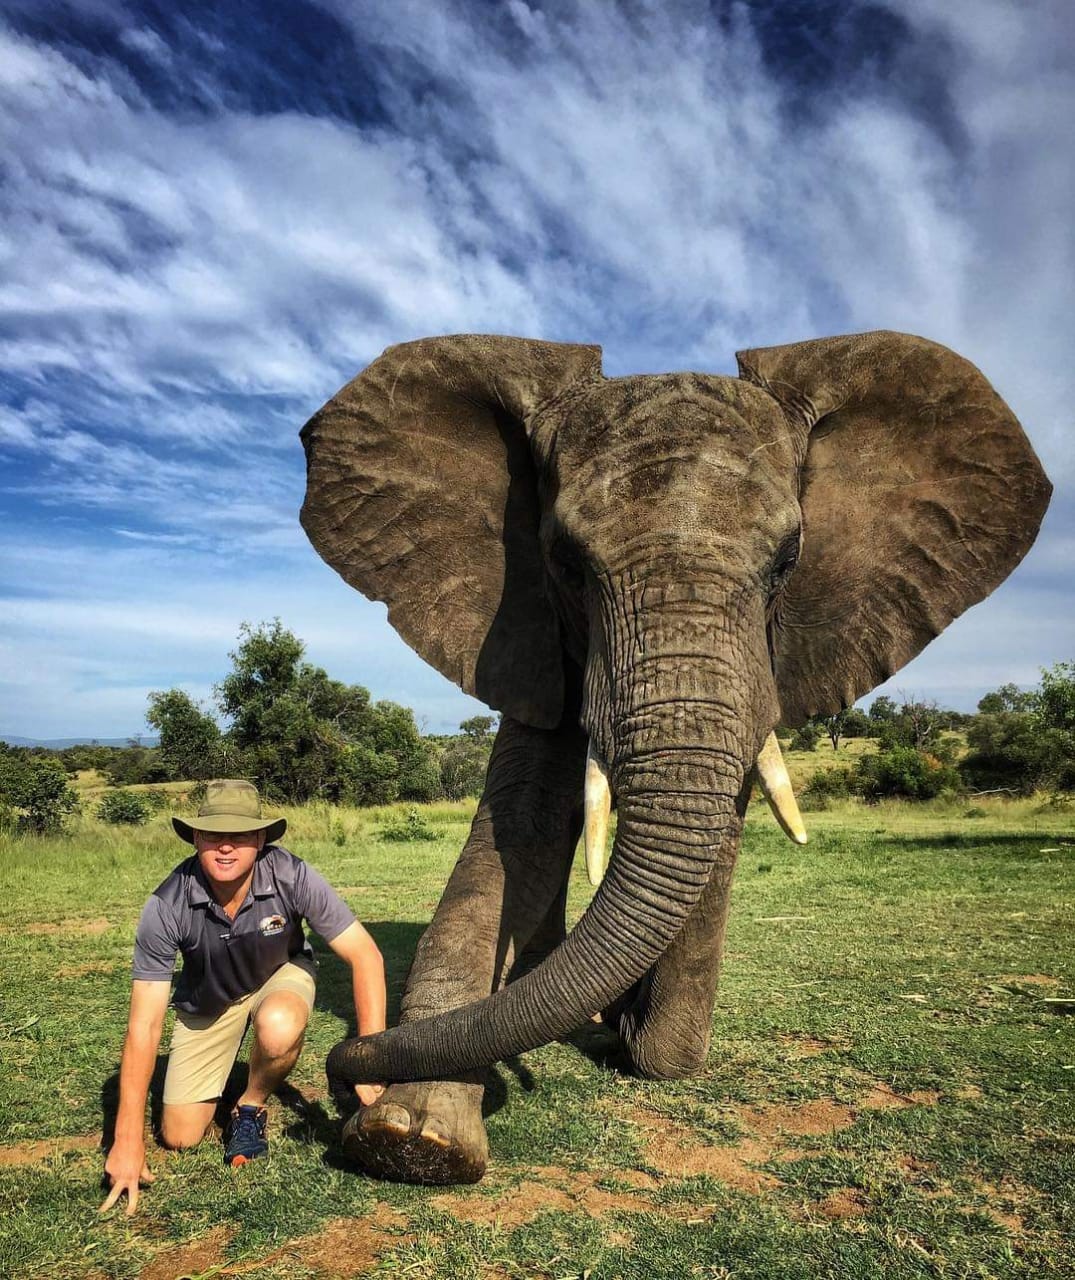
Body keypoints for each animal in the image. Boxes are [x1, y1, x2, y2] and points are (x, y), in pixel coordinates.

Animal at [299, 329, 1050, 1185]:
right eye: (563, 562)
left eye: (788, 562)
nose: (337, 1070)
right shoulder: (526, 627)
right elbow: (518, 826)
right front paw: (413, 1141)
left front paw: (640, 1041)